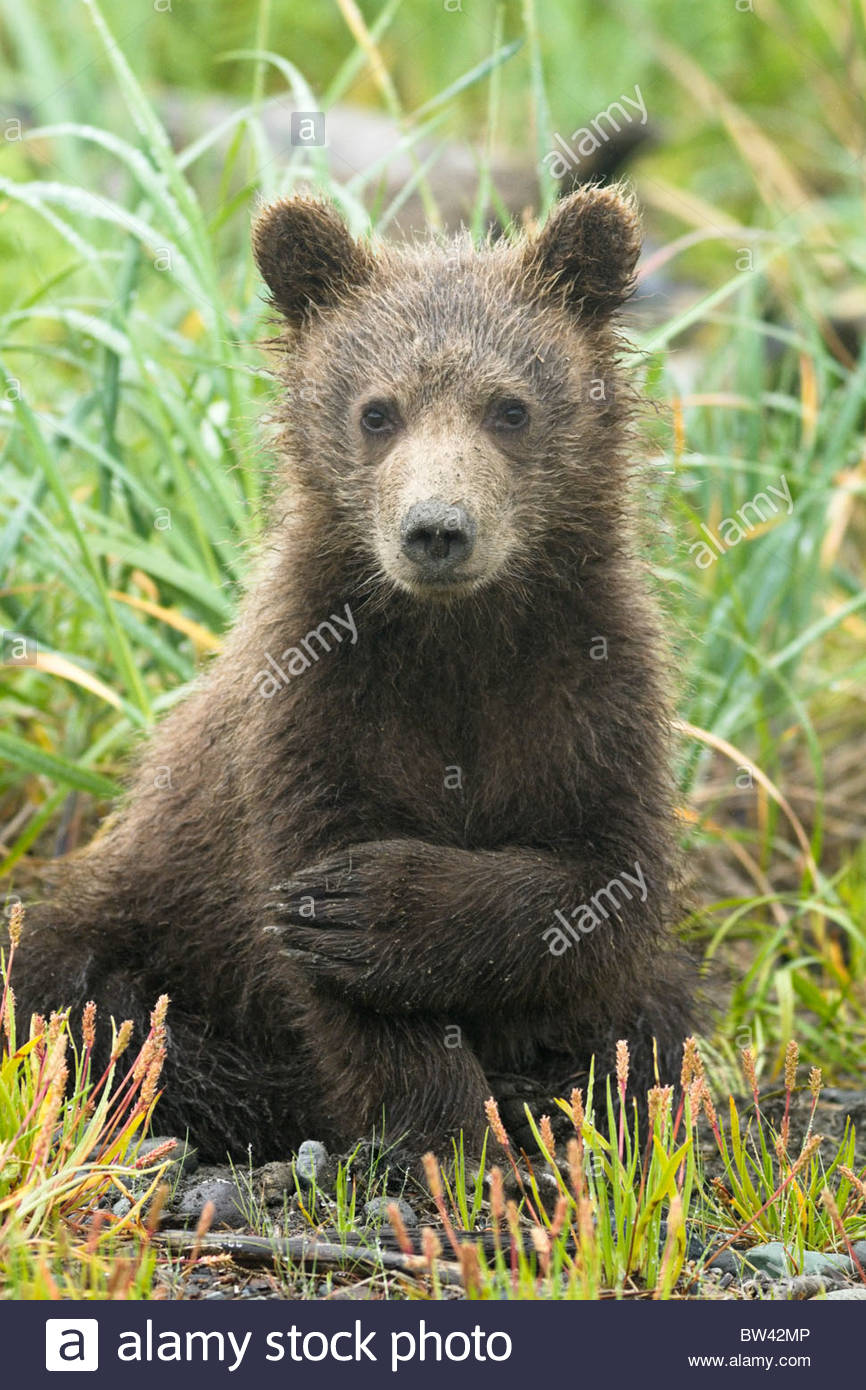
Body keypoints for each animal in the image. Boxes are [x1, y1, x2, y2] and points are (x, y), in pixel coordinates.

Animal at [11, 184, 696, 1163]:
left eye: (510, 408)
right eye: (379, 411)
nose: (437, 530)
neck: (455, 639)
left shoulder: (593, 690)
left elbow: (605, 884)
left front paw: (369, 908)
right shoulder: (313, 703)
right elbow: (330, 958)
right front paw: (449, 1133)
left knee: (656, 1023)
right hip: (137, 904)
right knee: (86, 999)